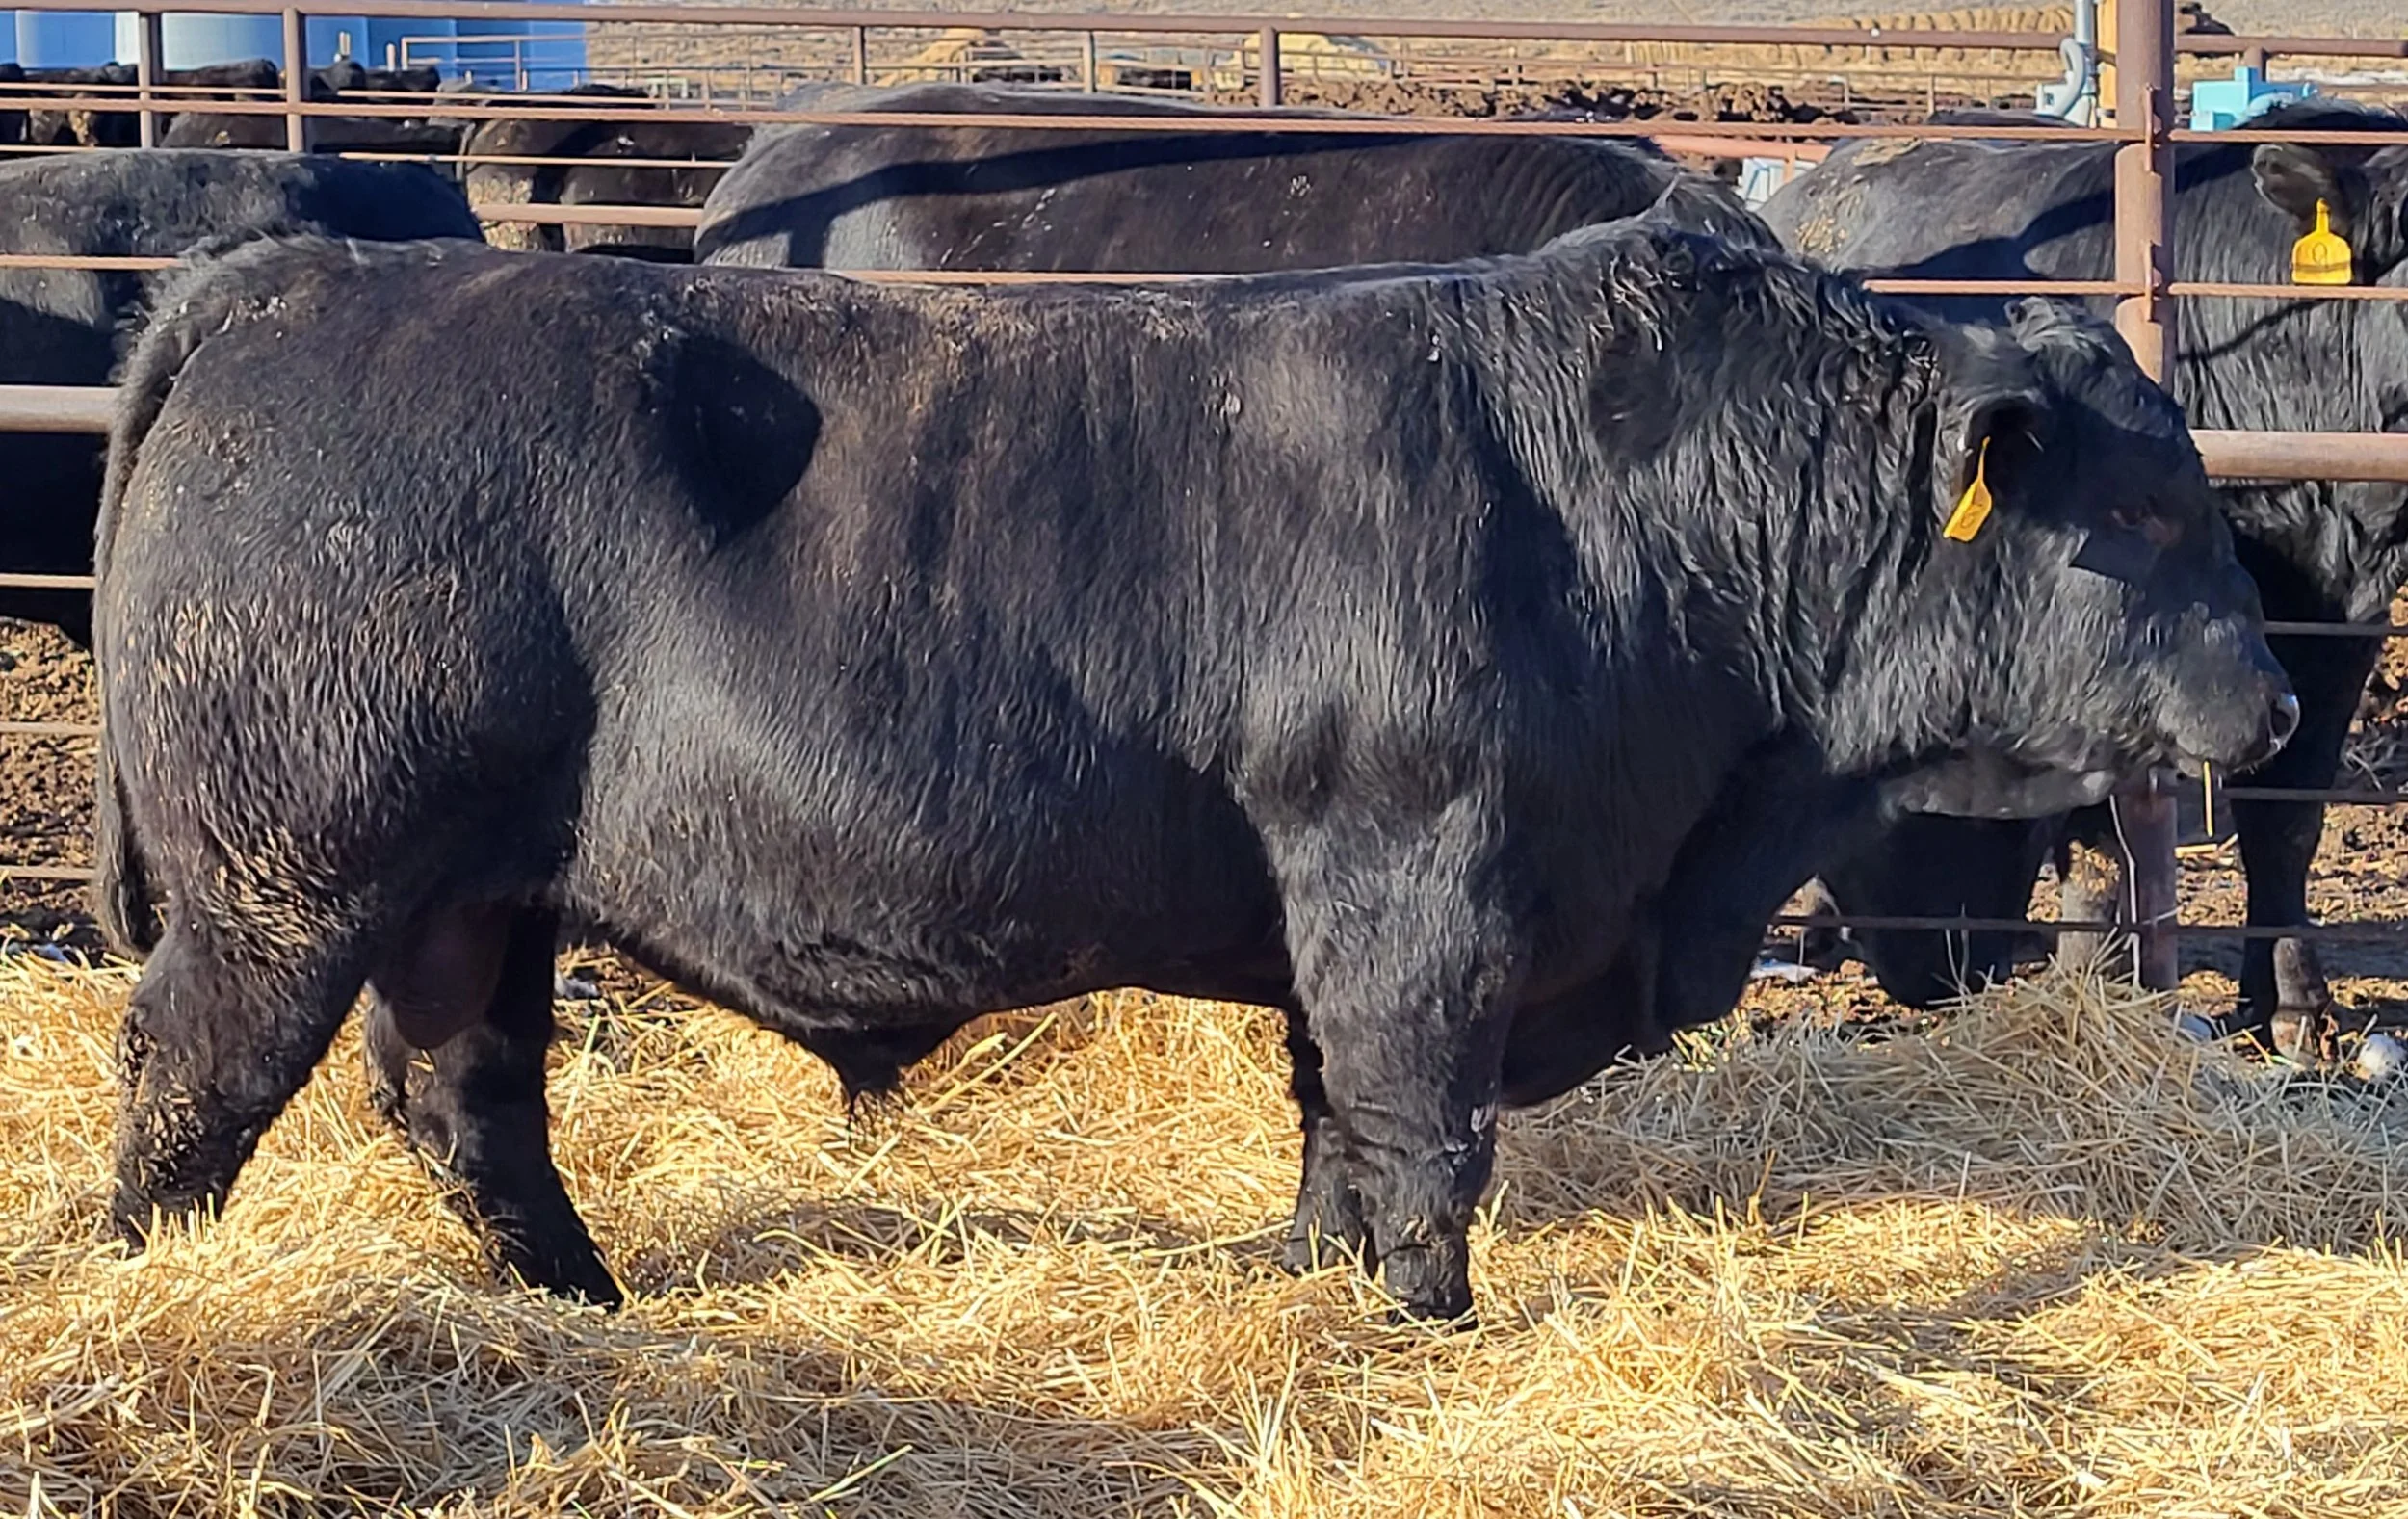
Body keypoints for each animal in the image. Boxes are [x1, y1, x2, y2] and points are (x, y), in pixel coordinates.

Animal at [95, 225, 2292, 1322]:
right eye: (2151, 516)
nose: (2273, 714)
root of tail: (303, 279)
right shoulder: (1422, 880)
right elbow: (1421, 1121)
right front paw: (1422, 1314)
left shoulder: (1363, 902)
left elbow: (1334, 1113)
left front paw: (1316, 1281)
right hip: (287, 873)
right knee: (194, 1083)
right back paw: (143, 1282)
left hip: (468, 893)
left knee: (465, 1097)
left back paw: (583, 1302)